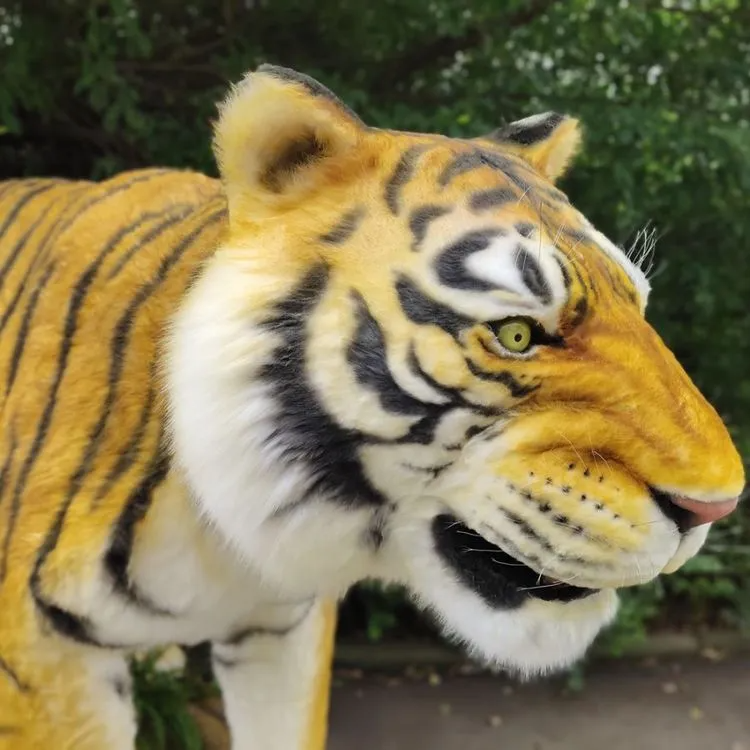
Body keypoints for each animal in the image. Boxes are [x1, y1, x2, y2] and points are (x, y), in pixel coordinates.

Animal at [0, 63, 743, 750]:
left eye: (639, 309)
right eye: (516, 334)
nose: (715, 508)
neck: (228, 529)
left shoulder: (285, 633)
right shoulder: (43, 659)